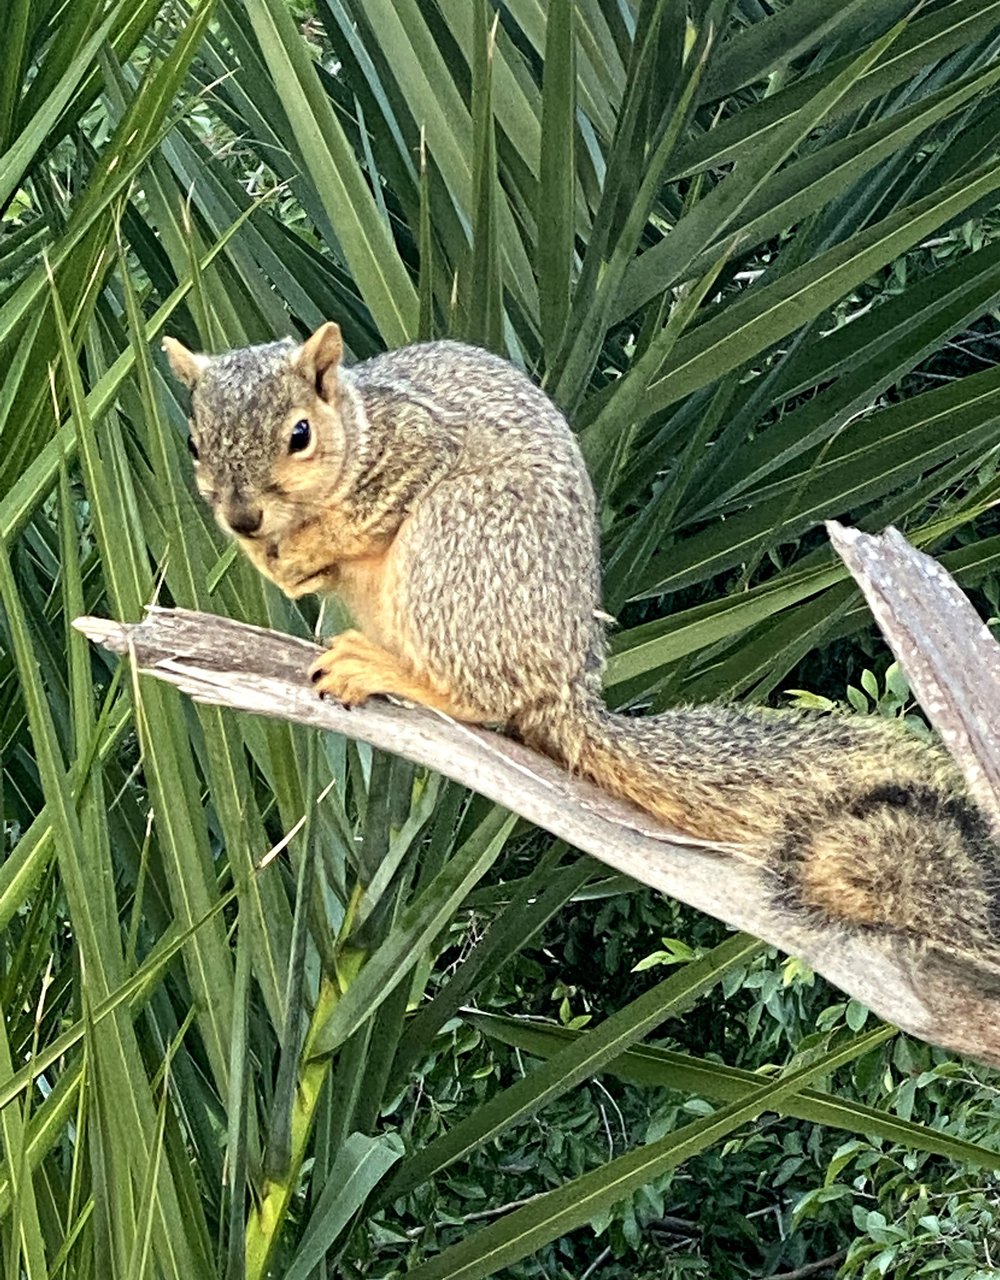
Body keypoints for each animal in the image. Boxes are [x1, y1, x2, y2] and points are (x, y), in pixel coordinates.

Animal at [164, 323, 1000, 961]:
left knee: (482, 697)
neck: (361, 424)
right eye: (195, 443)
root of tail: (566, 683)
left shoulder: (420, 450)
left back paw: (386, 669)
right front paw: (275, 558)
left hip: (461, 540)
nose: (241, 517)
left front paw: (310, 544)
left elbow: (363, 513)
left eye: (299, 435)